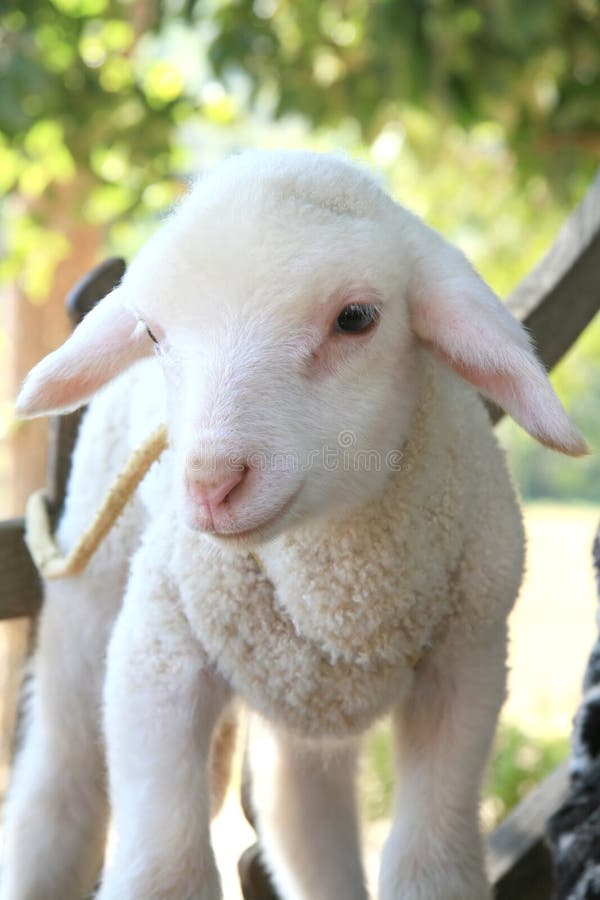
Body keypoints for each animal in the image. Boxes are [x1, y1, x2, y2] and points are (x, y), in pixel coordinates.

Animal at [1, 149, 586, 900]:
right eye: (154, 334)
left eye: (357, 318)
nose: (210, 484)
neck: (345, 594)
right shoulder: (155, 657)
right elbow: (167, 870)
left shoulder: (469, 664)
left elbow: (431, 863)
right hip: (91, 586)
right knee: (60, 784)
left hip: (306, 699)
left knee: (303, 814)